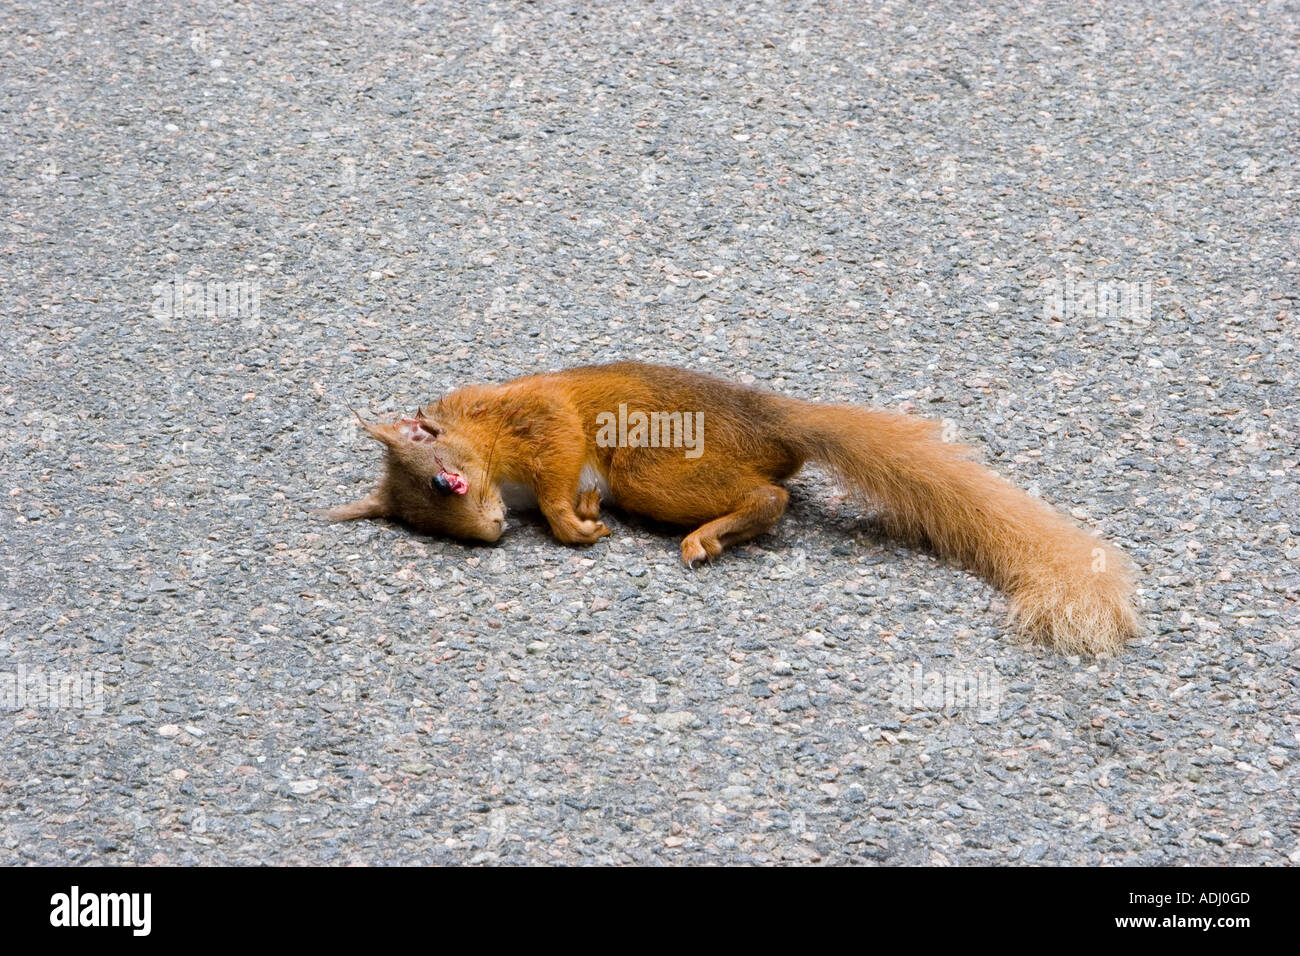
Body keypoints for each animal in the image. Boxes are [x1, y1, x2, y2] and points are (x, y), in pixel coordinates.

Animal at [327, 361, 1139, 655]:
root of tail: (776, 427)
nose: (492, 532)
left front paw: (574, 525)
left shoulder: (541, 424)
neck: (482, 433)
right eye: (427, 523)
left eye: (448, 485)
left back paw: (709, 534)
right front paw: (578, 513)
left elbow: (559, 474)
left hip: (655, 470)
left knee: (771, 497)